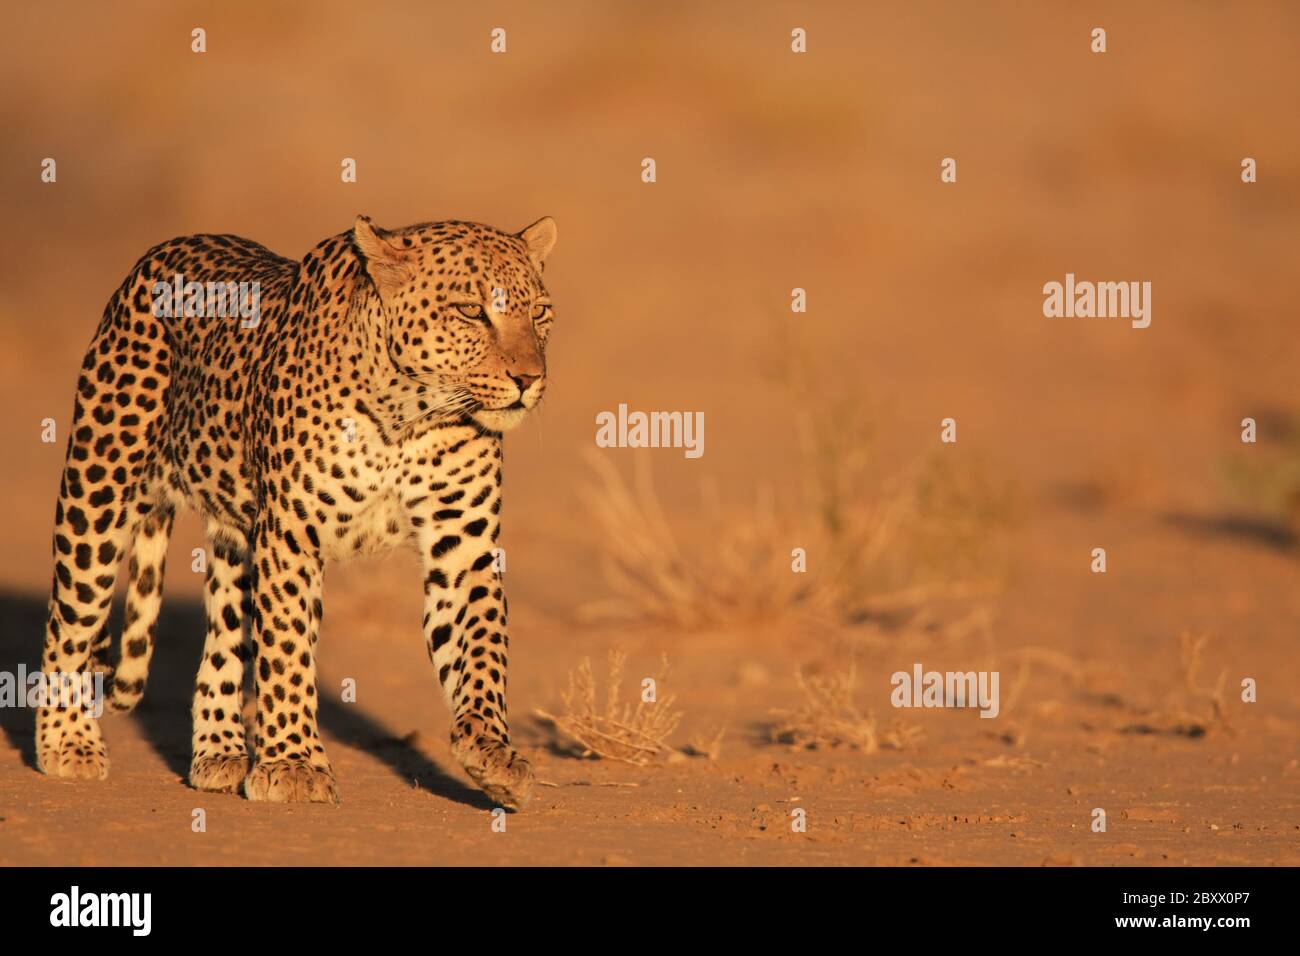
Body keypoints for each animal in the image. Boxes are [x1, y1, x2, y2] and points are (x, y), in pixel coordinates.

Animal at [33, 214, 558, 808]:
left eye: (540, 312)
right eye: (471, 310)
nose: (529, 378)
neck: (409, 416)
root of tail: (159, 253)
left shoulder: (464, 549)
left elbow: (482, 650)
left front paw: (492, 752)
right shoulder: (291, 535)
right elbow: (286, 648)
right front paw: (294, 764)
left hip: (235, 537)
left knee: (223, 642)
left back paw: (220, 753)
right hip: (97, 492)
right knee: (70, 622)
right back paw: (68, 743)